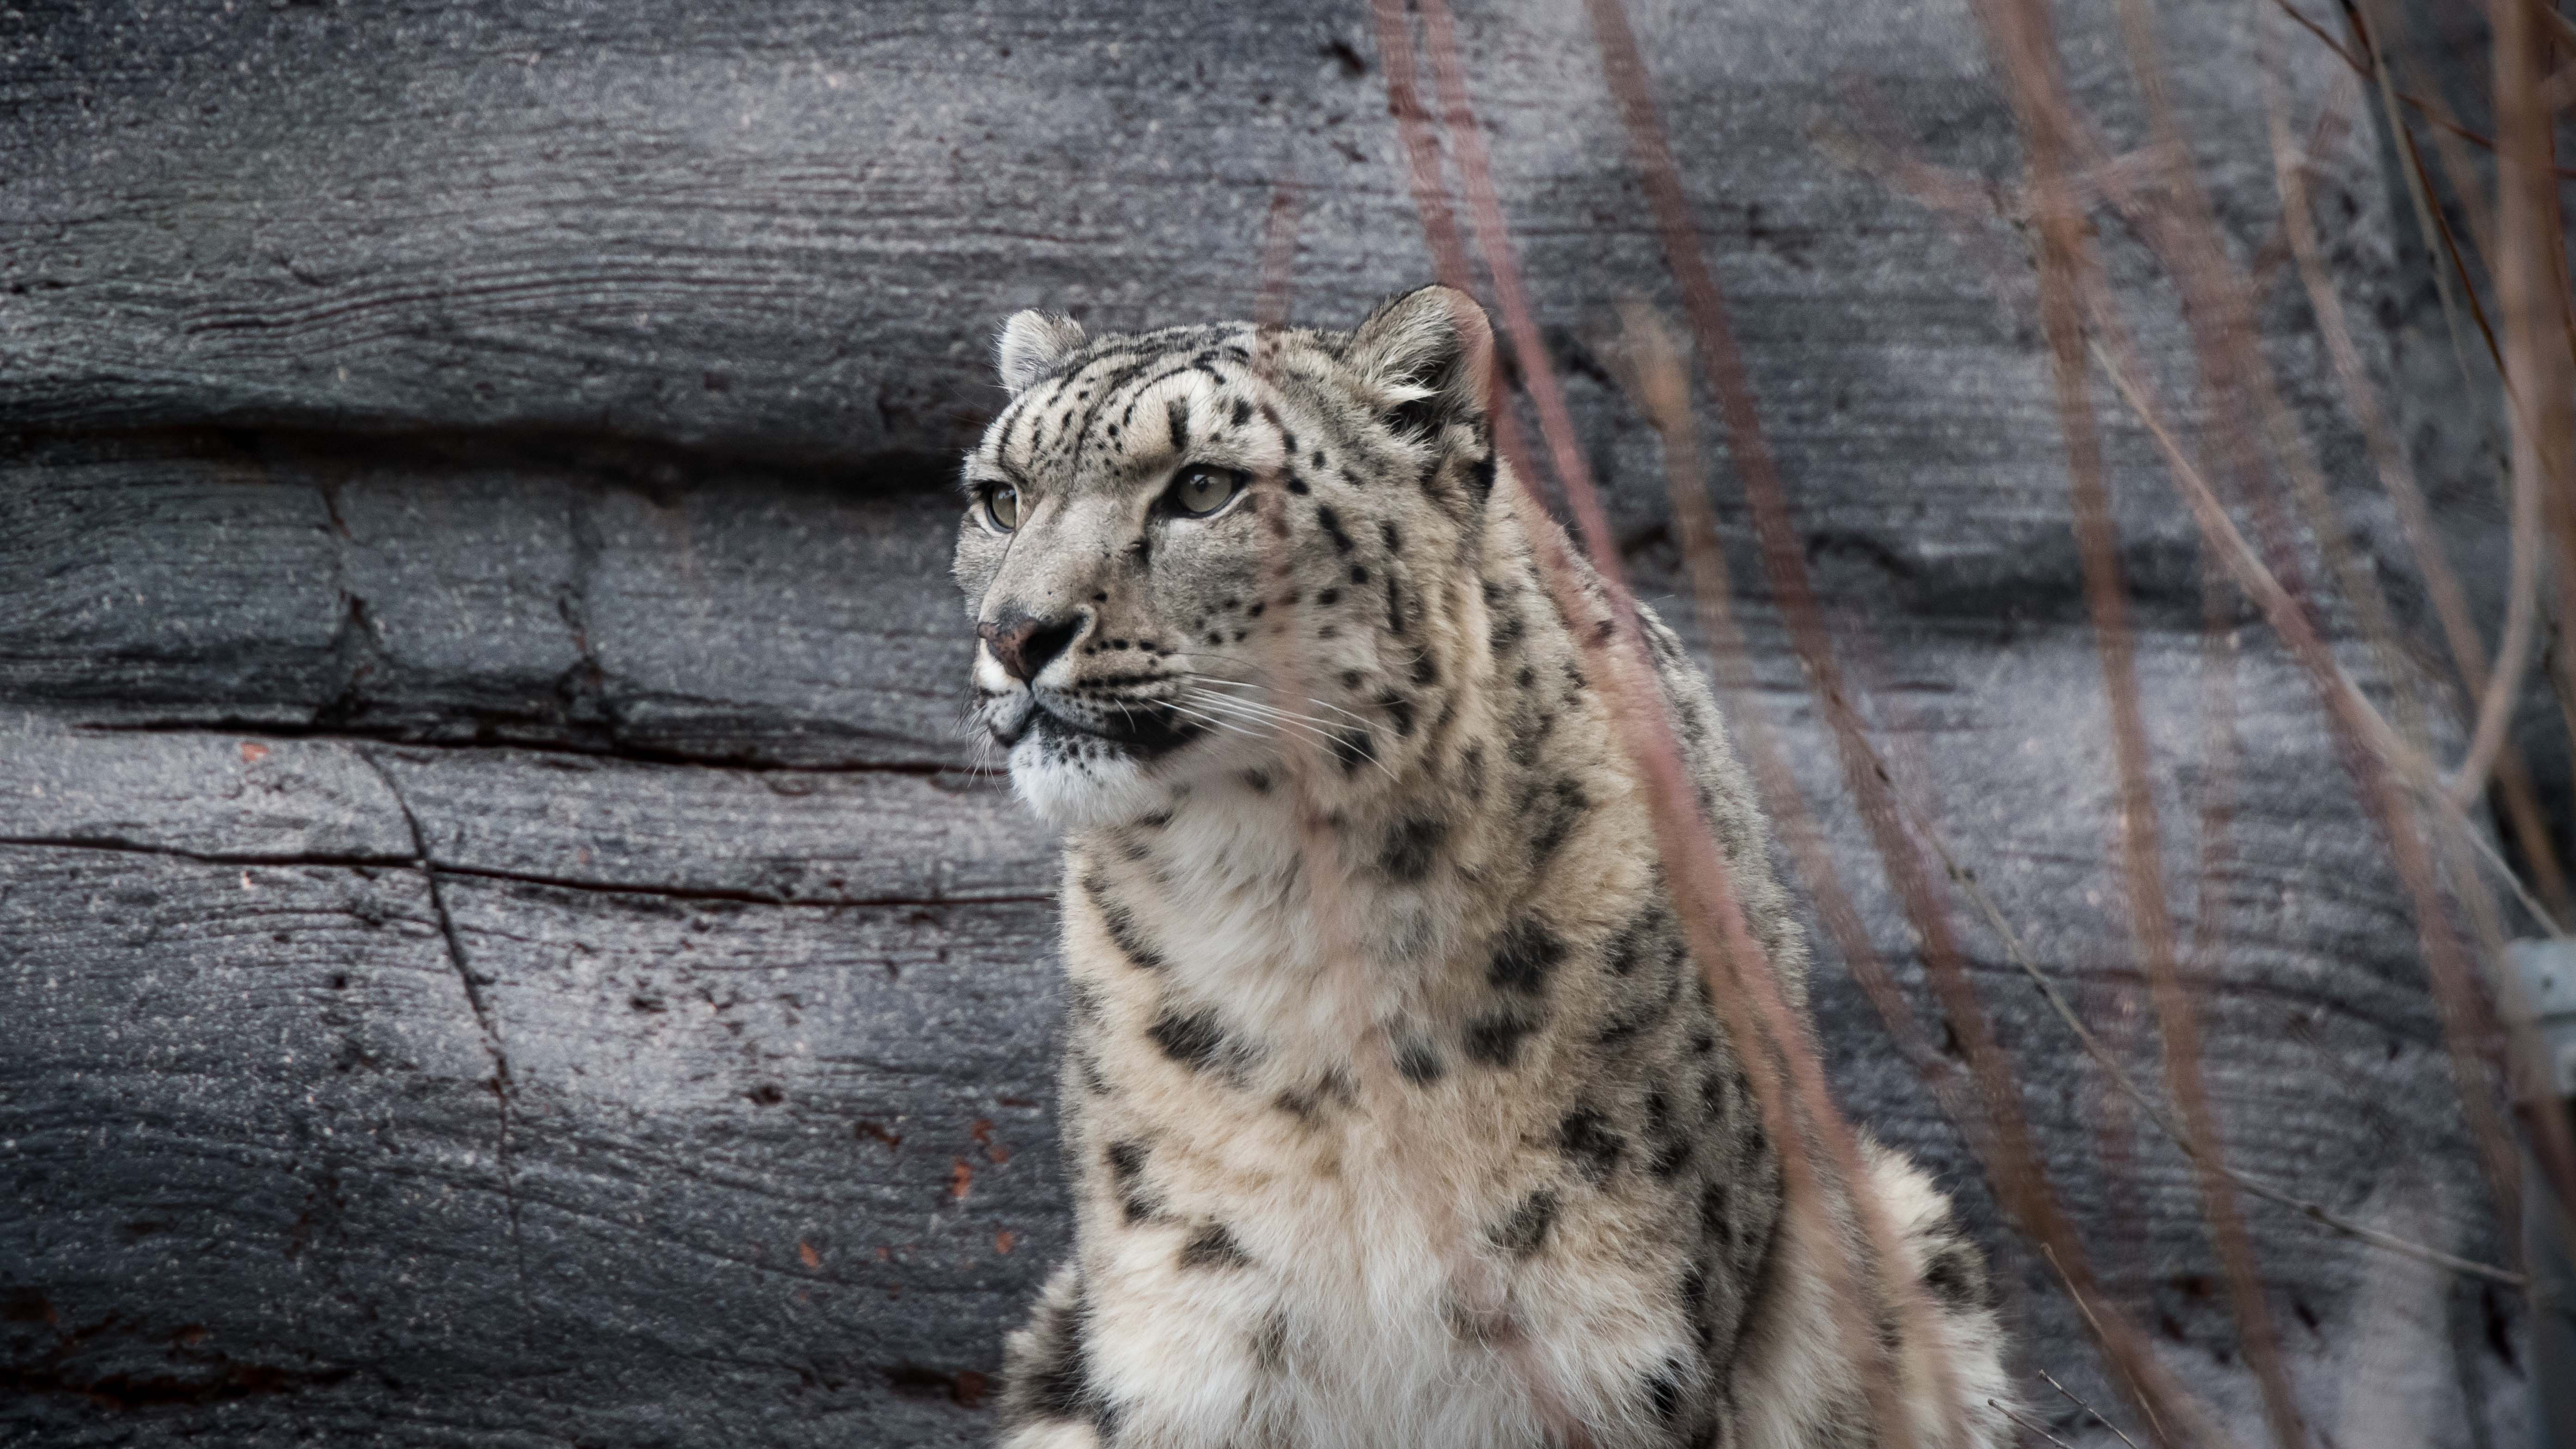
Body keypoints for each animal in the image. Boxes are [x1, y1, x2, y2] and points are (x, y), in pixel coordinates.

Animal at [951, 285, 2014, 1448]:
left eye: (1202, 487)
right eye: (1000, 499)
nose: (1014, 634)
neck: (1287, 918)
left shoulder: (1613, 1337)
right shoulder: (1189, 1321)